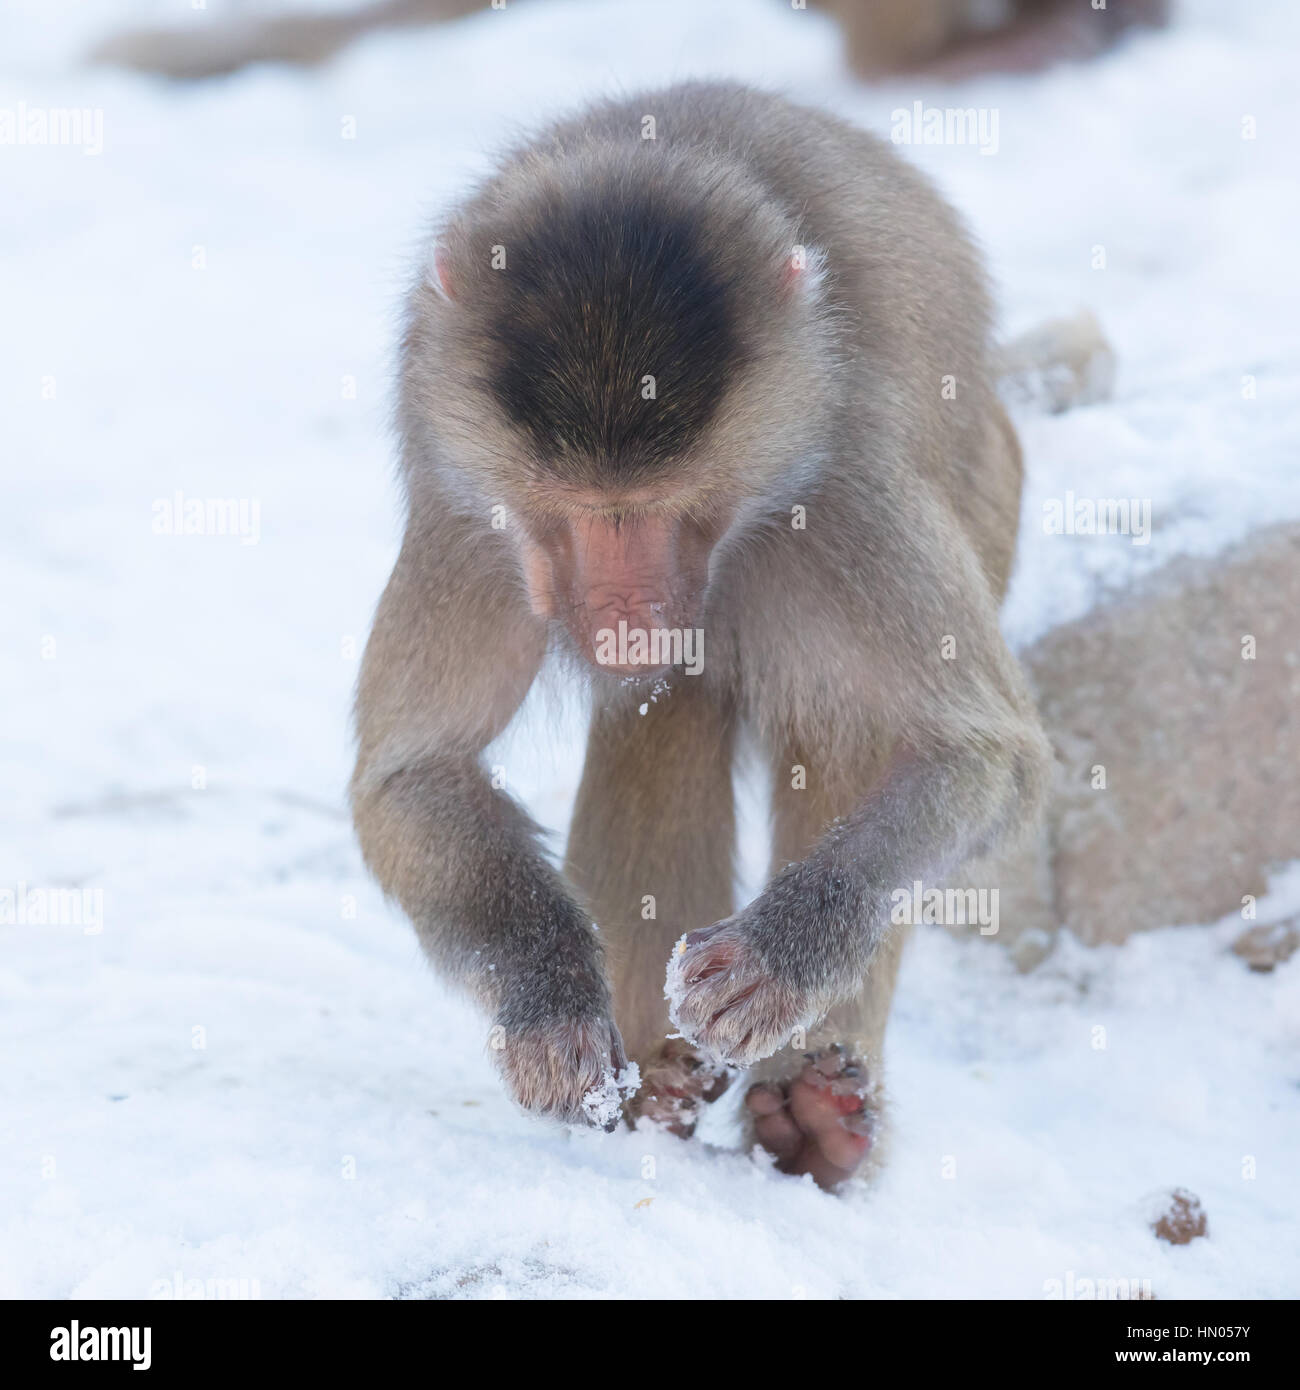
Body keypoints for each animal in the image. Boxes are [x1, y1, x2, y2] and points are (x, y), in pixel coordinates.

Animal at [348, 80, 1071, 1190]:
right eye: (576, 510)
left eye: (664, 505)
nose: (629, 616)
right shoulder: (468, 514)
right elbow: (411, 772)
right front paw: (551, 1005)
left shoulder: (848, 486)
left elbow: (983, 756)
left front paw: (774, 963)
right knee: (666, 713)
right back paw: (657, 1091)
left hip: (989, 486)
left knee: (848, 722)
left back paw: (814, 1114)